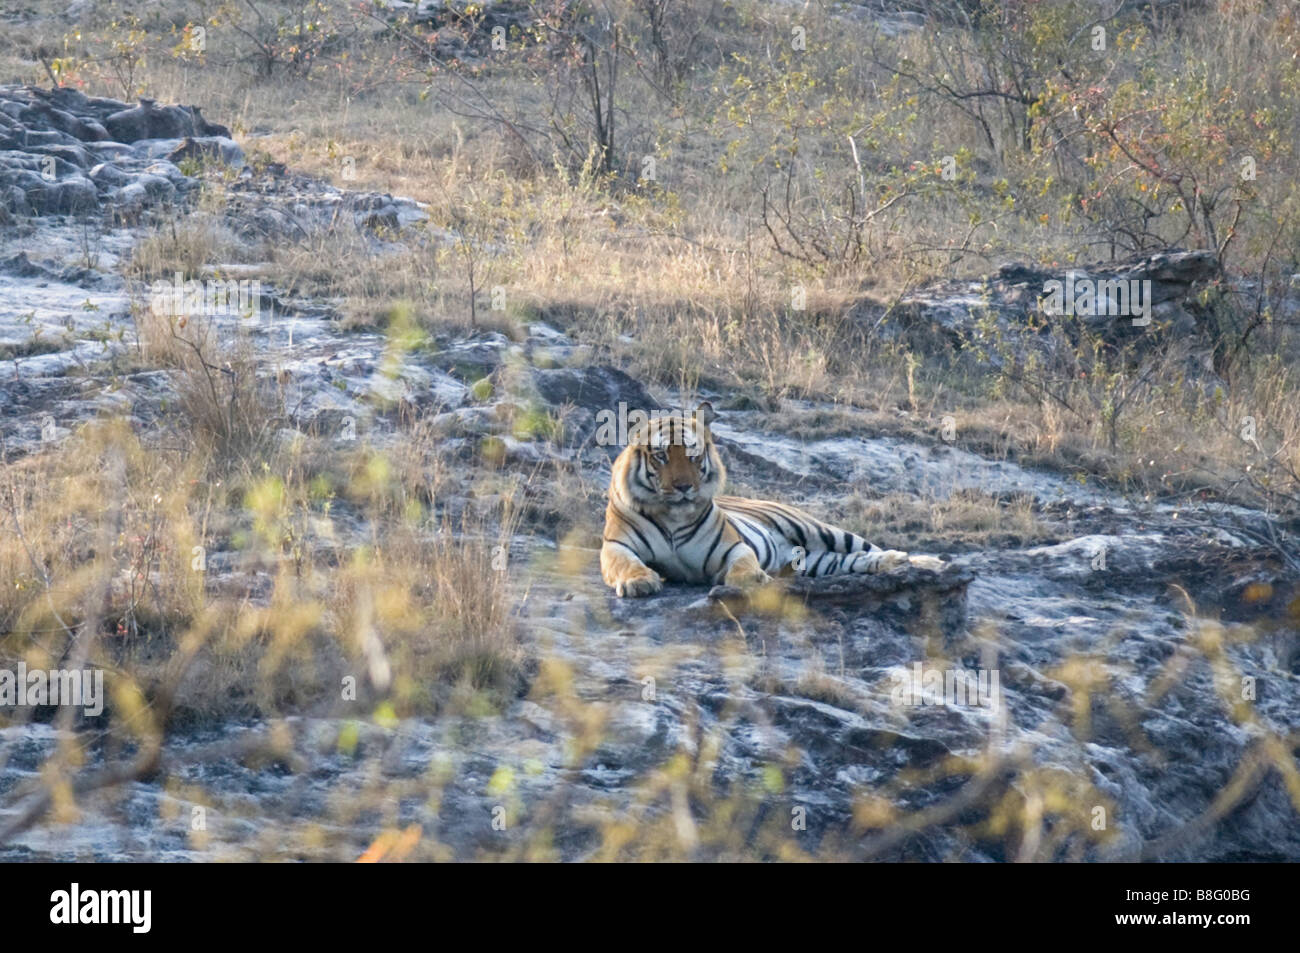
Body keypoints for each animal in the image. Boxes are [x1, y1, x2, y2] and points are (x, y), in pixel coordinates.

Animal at [600, 402, 945, 597]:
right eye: (660, 456)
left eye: (693, 453)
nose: (685, 487)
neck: (674, 515)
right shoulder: (617, 545)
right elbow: (625, 563)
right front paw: (639, 582)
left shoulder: (732, 546)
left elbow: (743, 561)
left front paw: (750, 579)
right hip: (815, 561)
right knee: (854, 560)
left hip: (819, 529)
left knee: (868, 548)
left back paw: (924, 562)